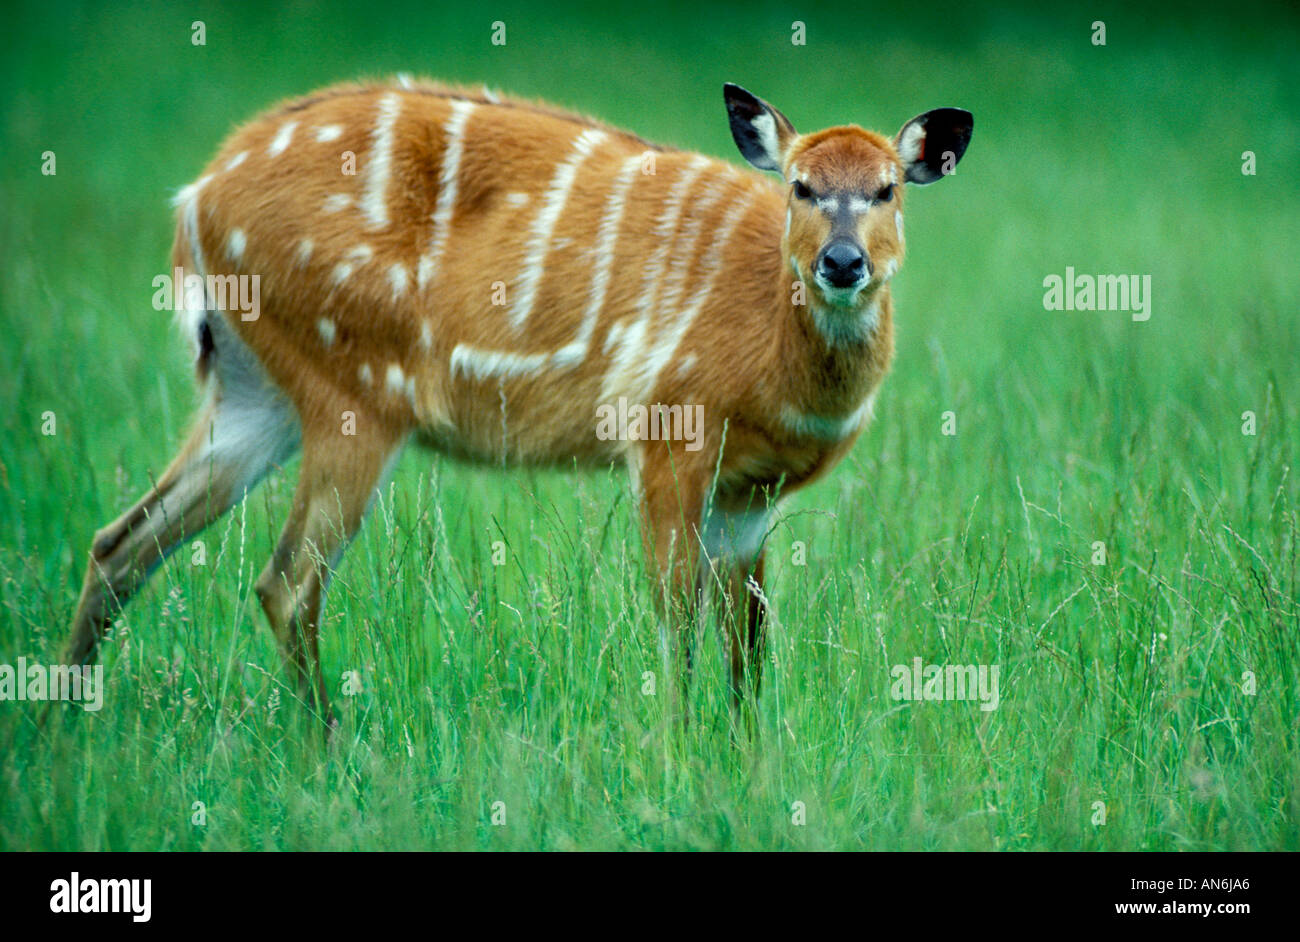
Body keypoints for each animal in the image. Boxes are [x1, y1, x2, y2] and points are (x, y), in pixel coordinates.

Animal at [65, 79, 972, 726]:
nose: (843, 262)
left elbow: (749, 643)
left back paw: (65, 729)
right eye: (800, 185)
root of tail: (195, 201)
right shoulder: (664, 433)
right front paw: (678, 752)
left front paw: (747, 759)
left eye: (888, 188)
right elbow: (675, 621)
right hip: (352, 388)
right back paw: (327, 745)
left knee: (120, 542)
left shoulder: (752, 492)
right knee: (285, 581)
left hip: (257, 395)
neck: (772, 371)